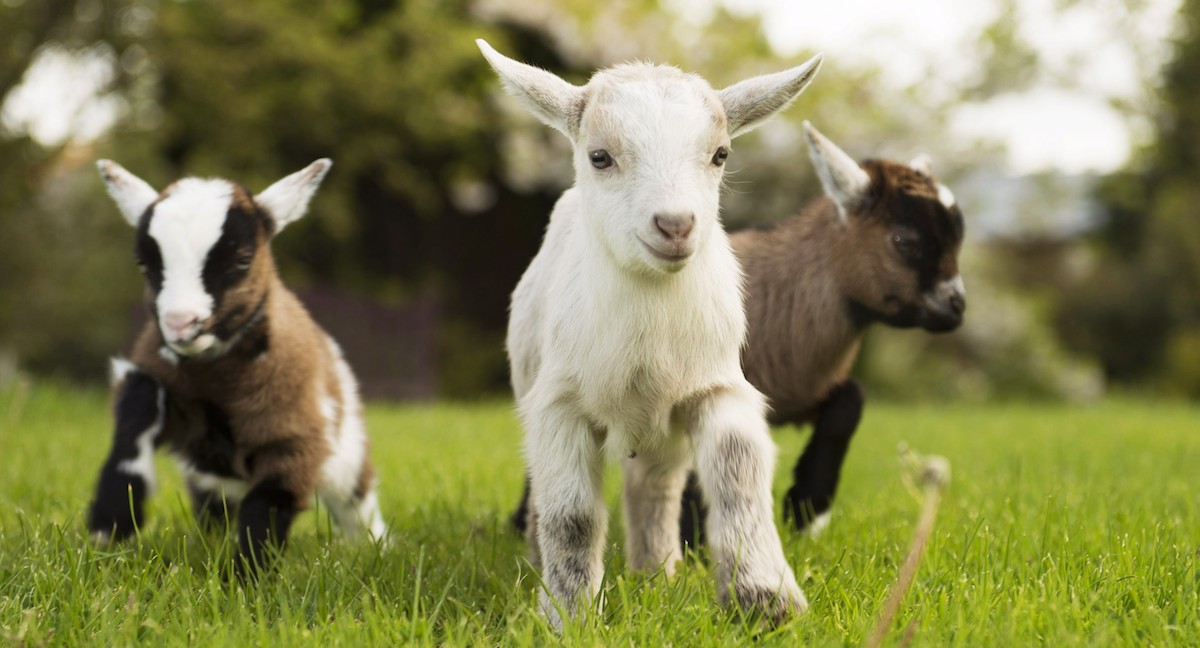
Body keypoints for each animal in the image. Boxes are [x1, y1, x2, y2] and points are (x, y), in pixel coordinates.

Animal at [88, 159, 387, 573]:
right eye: (144, 264)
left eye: (243, 260)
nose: (181, 323)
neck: (215, 378)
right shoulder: (164, 391)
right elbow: (138, 407)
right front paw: (109, 525)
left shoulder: (293, 436)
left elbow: (268, 503)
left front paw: (247, 579)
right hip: (212, 478)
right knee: (215, 506)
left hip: (348, 453)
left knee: (358, 504)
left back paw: (378, 549)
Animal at [478, 39, 822, 628]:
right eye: (600, 156)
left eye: (720, 154)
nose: (675, 225)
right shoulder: (559, 406)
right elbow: (572, 516)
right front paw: (568, 616)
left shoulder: (716, 386)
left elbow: (738, 477)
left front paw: (766, 602)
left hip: (663, 434)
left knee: (655, 488)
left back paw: (656, 576)